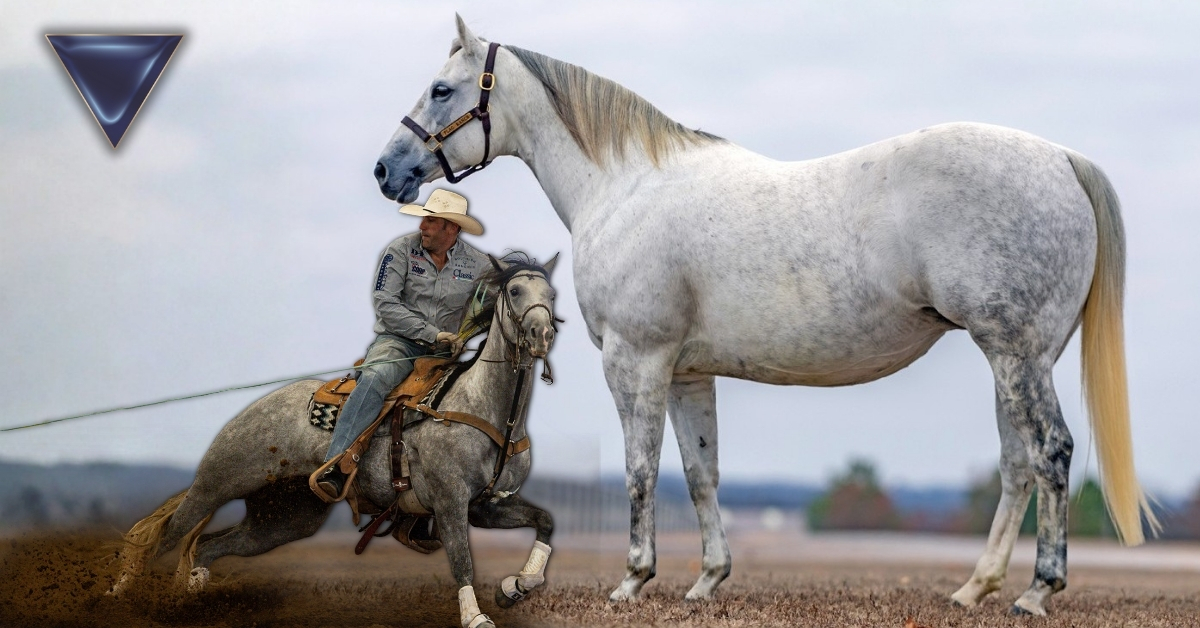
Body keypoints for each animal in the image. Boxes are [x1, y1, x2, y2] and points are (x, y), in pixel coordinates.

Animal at [108, 254, 561, 628]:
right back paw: (119, 596)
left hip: (284, 519)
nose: (541, 334)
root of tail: (251, 411)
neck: (486, 410)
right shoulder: (450, 500)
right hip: (215, 484)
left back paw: (188, 600)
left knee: (207, 547)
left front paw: (516, 586)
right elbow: (462, 561)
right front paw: (477, 617)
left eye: (552, 294)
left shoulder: (485, 505)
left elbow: (545, 522)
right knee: (165, 537)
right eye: (515, 291)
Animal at [371, 16, 1160, 616]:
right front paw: (706, 581)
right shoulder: (687, 373)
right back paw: (974, 589)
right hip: (1016, 357)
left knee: (1051, 452)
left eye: (441, 88)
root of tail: (1061, 158)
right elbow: (701, 472)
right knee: (1018, 464)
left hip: (1015, 353)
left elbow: (639, 468)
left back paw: (1037, 591)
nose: (387, 170)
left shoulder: (635, 359)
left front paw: (634, 580)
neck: (622, 187)